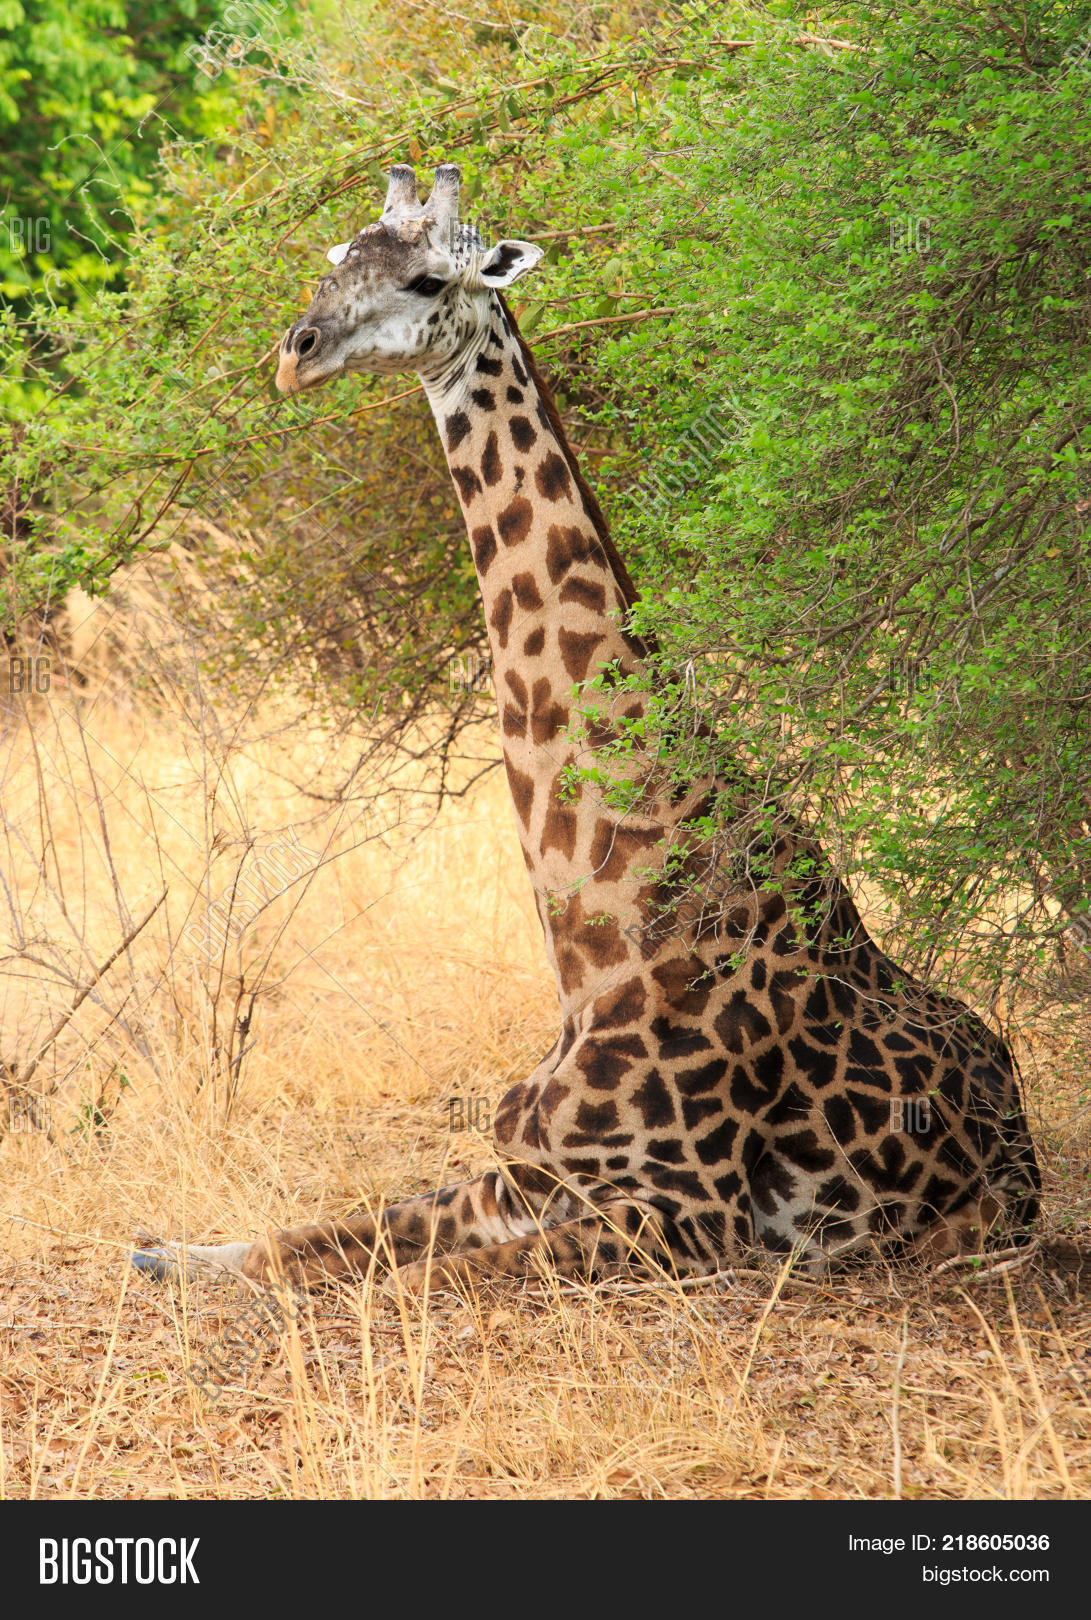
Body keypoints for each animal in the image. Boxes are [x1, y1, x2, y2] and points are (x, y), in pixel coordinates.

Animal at [135, 164, 1039, 1295]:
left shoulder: (684, 1215)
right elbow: (316, 1238)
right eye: (336, 259)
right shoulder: (529, 1166)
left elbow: (416, 1277)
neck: (596, 940)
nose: (296, 354)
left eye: (429, 278)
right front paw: (165, 1253)